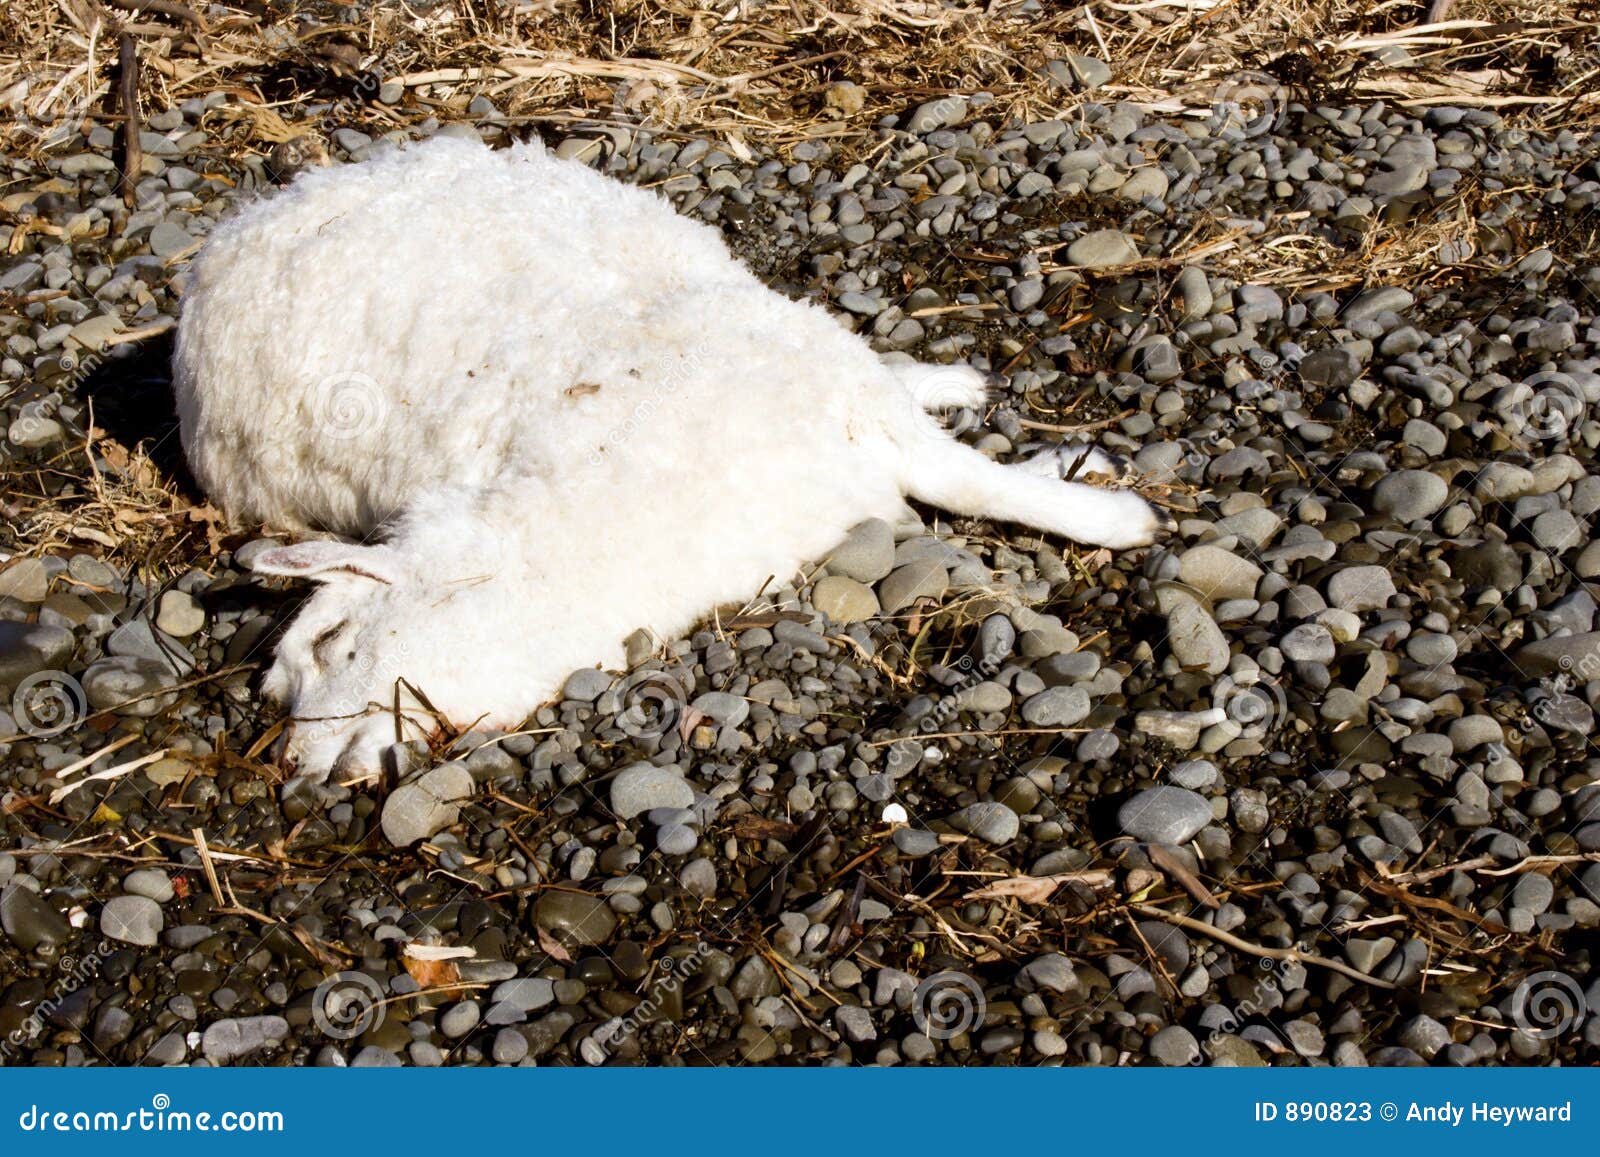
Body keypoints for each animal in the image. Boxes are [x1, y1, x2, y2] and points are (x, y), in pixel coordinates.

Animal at [173, 135, 1171, 781]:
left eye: (334, 643)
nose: (295, 766)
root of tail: (219, 257)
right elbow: (969, 478)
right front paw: (1095, 489)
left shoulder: (849, 408)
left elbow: (981, 482)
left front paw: (1114, 512)